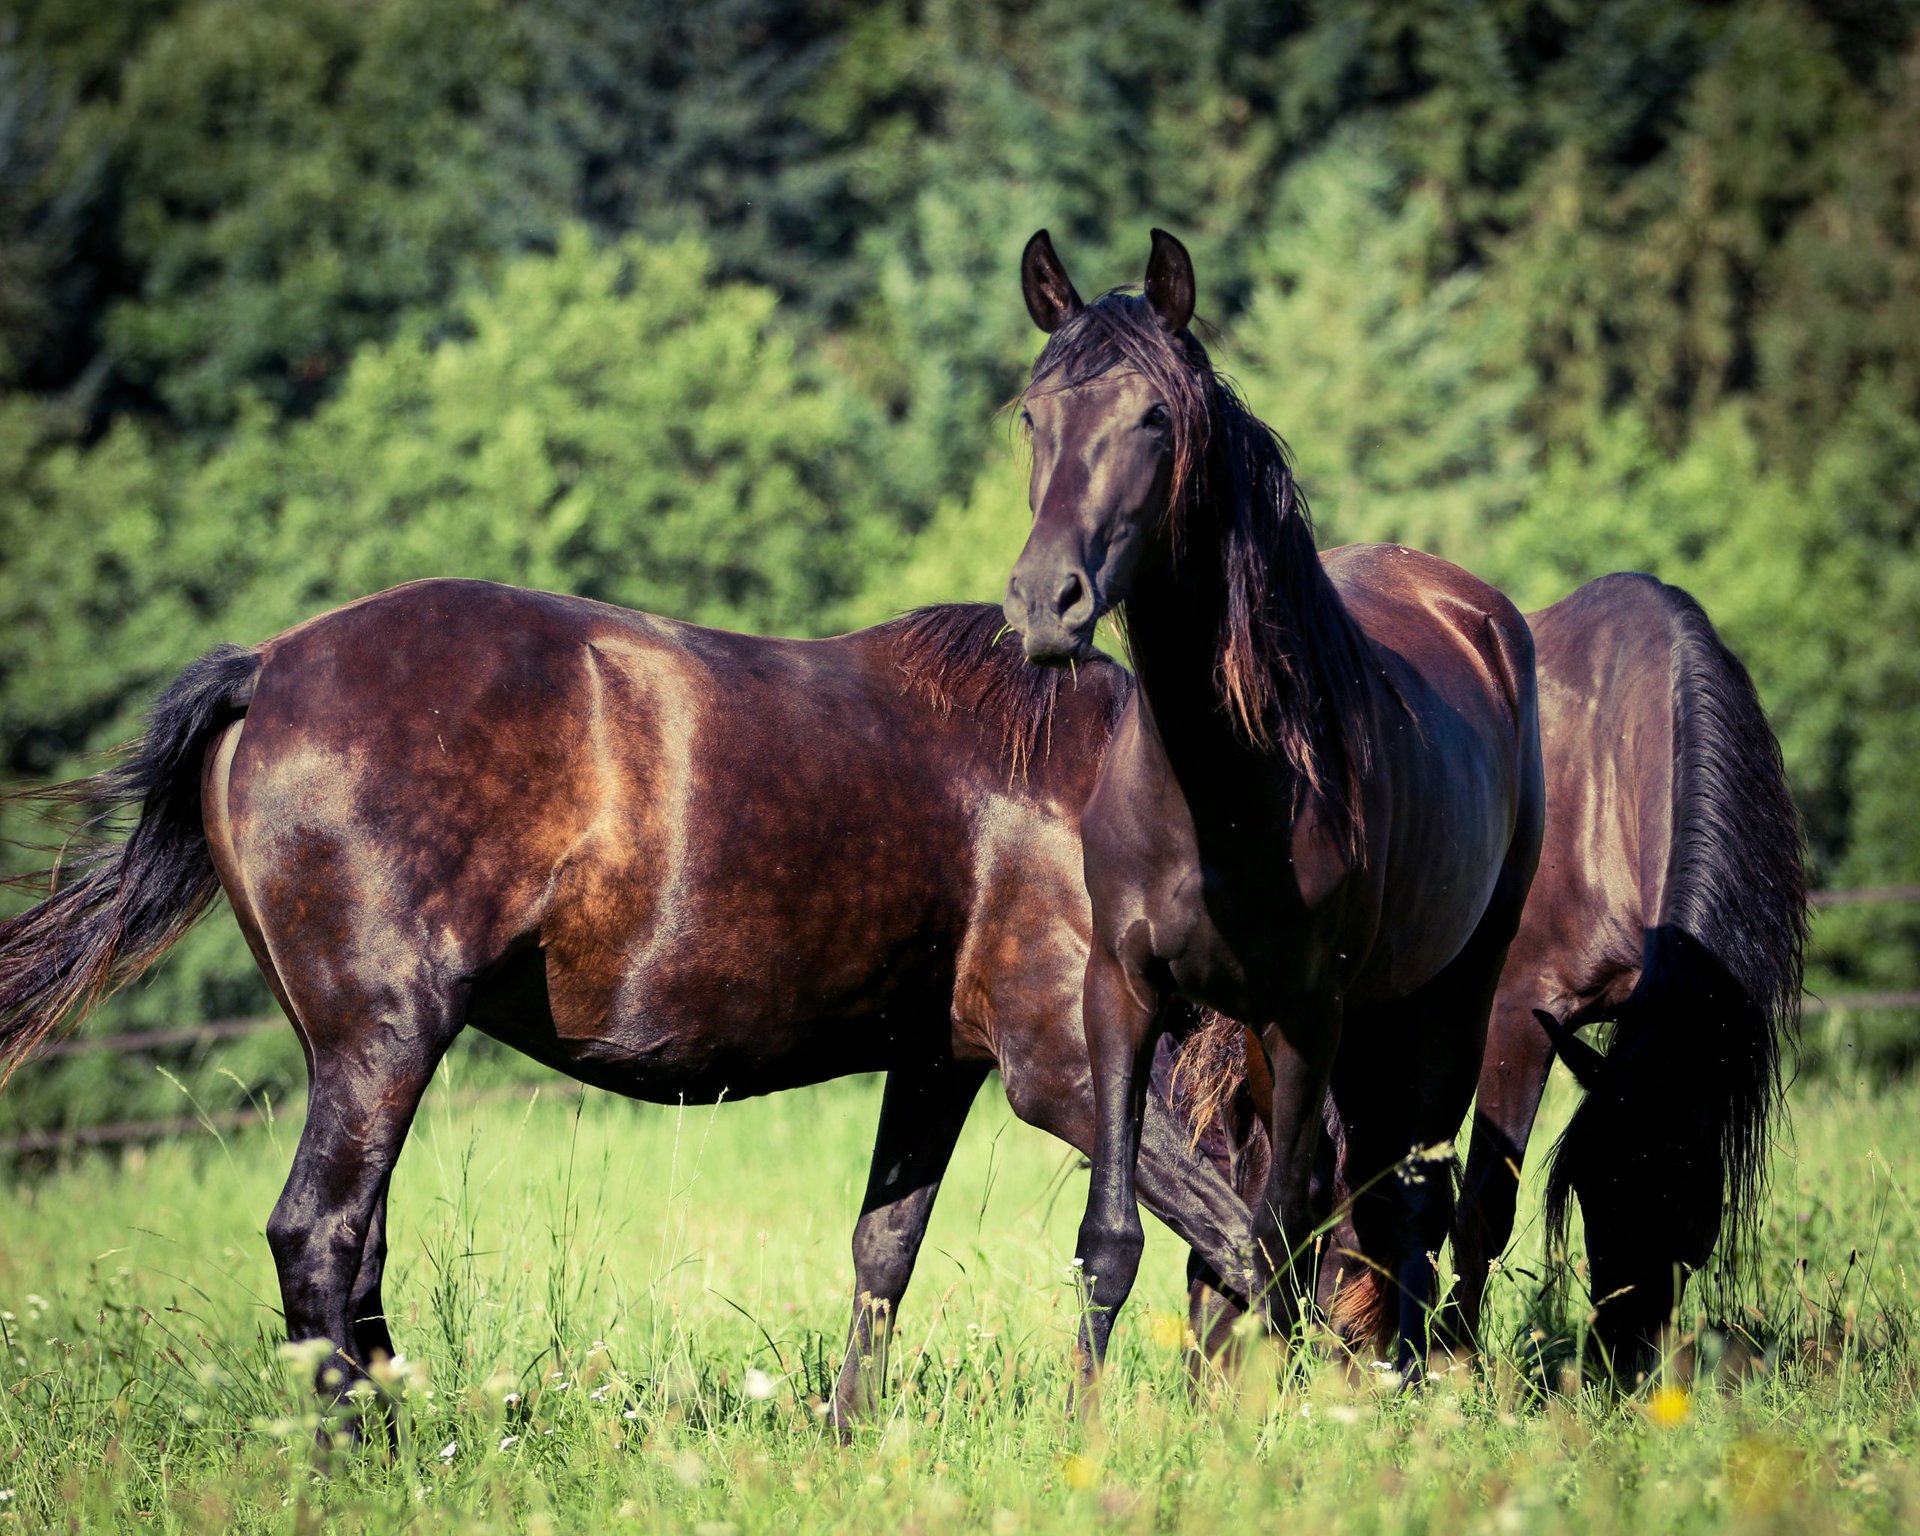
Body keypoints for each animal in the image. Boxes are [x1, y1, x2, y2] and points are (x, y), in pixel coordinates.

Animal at [0, 586, 1254, 1429]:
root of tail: (268, 667)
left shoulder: (937, 1064)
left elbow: (885, 1247)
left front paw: (852, 1434)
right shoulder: (1061, 1069)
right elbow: (1231, 1236)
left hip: (358, 1057)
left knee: (356, 1252)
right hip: (386, 1043)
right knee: (319, 1234)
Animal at [1001, 228, 1546, 1382]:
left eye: (1154, 418)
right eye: (1034, 415)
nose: (1046, 604)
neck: (1221, 791)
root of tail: (1479, 614)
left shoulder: (1310, 1013)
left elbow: (1278, 1234)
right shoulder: (1124, 993)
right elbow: (1116, 1239)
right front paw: (1098, 1409)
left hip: (1441, 1001)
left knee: (1401, 1197)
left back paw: (1404, 1367)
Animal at [1173, 572, 1808, 1379]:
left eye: (1687, 1198)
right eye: (1593, 1191)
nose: (1622, 1360)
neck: (1612, 771)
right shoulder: (1518, 1015)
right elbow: (1485, 1205)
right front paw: (1457, 1358)